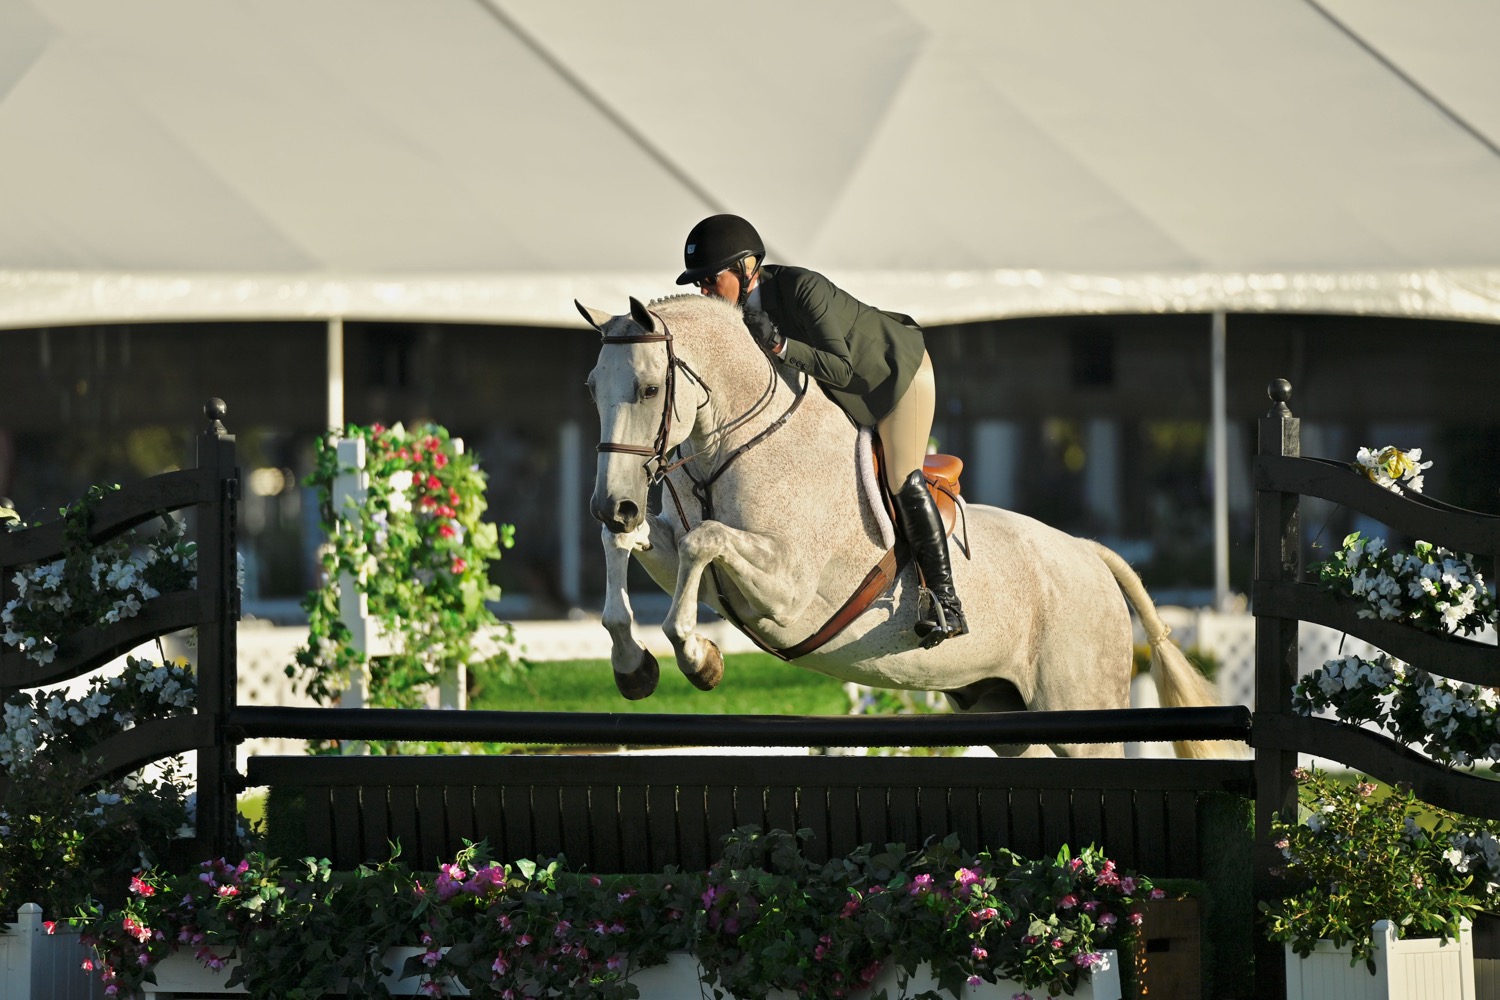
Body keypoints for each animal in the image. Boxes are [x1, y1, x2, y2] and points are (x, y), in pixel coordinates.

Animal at [577, 293, 1222, 758]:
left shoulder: (787, 591)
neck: (733, 446)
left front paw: (698, 657)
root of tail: (1090, 553)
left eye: (649, 388)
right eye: (592, 389)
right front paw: (633, 666)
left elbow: (701, 540)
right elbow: (633, 545)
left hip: (1081, 715)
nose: (615, 502)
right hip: (1009, 717)